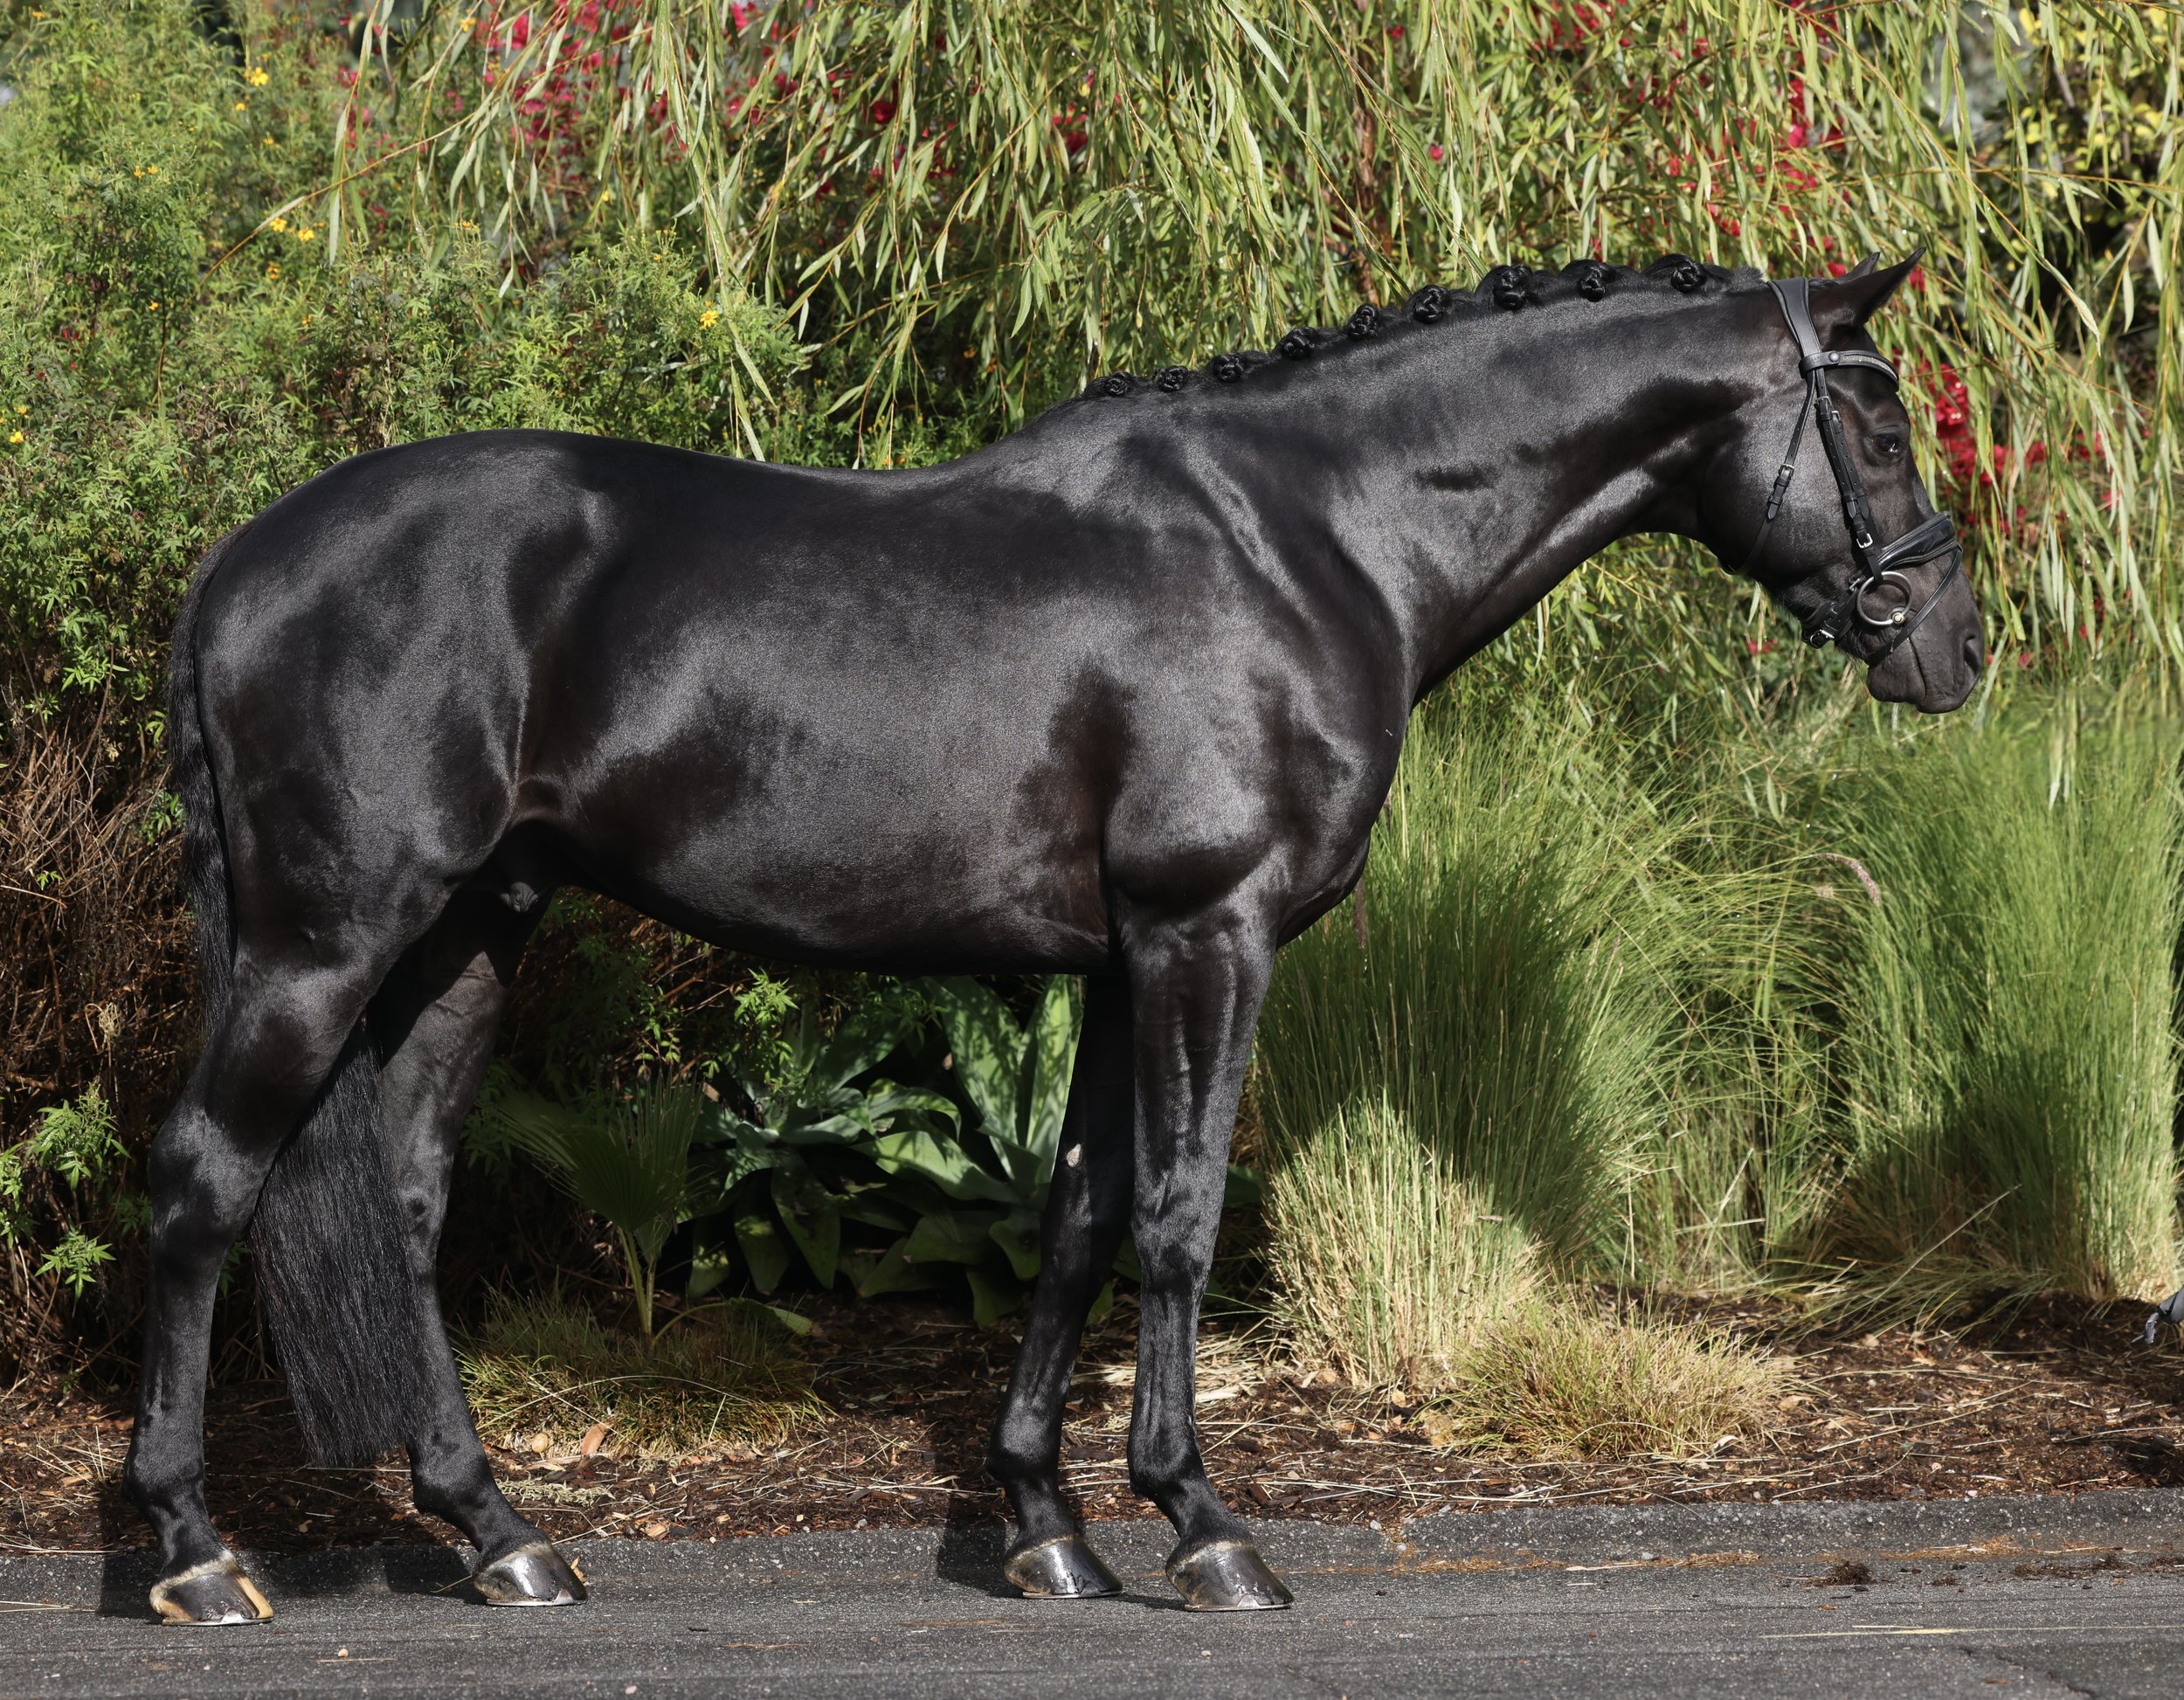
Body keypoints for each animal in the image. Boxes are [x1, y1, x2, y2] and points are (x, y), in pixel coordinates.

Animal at [125, 251, 1982, 1623]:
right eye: (1878, 424)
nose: (1952, 647)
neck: (1311, 540)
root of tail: (238, 565)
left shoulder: (1112, 964)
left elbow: (1082, 1218)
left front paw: (1048, 1526)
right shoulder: (1209, 933)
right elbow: (1179, 1216)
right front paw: (1205, 1528)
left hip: (470, 937)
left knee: (406, 1209)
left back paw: (501, 1537)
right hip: (324, 941)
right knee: (204, 1184)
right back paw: (199, 1556)